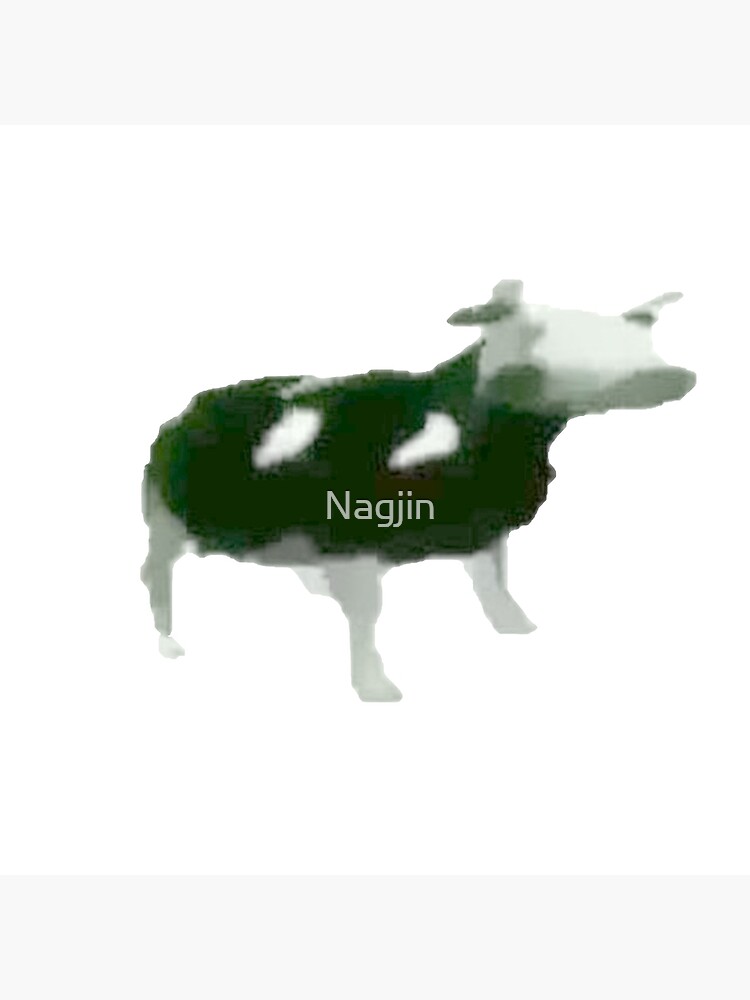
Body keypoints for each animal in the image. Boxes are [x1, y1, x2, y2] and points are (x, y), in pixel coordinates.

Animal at [141, 278, 696, 701]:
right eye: (533, 331)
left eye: (636, 336)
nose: (672, 376)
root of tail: (178, 416)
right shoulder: (354, 535)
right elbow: (366, 615)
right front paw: (380, 692)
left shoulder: (485, 526)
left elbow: (493, 580)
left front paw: (521, 629)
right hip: (162, 522)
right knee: (154, 573)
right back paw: (170, 646)